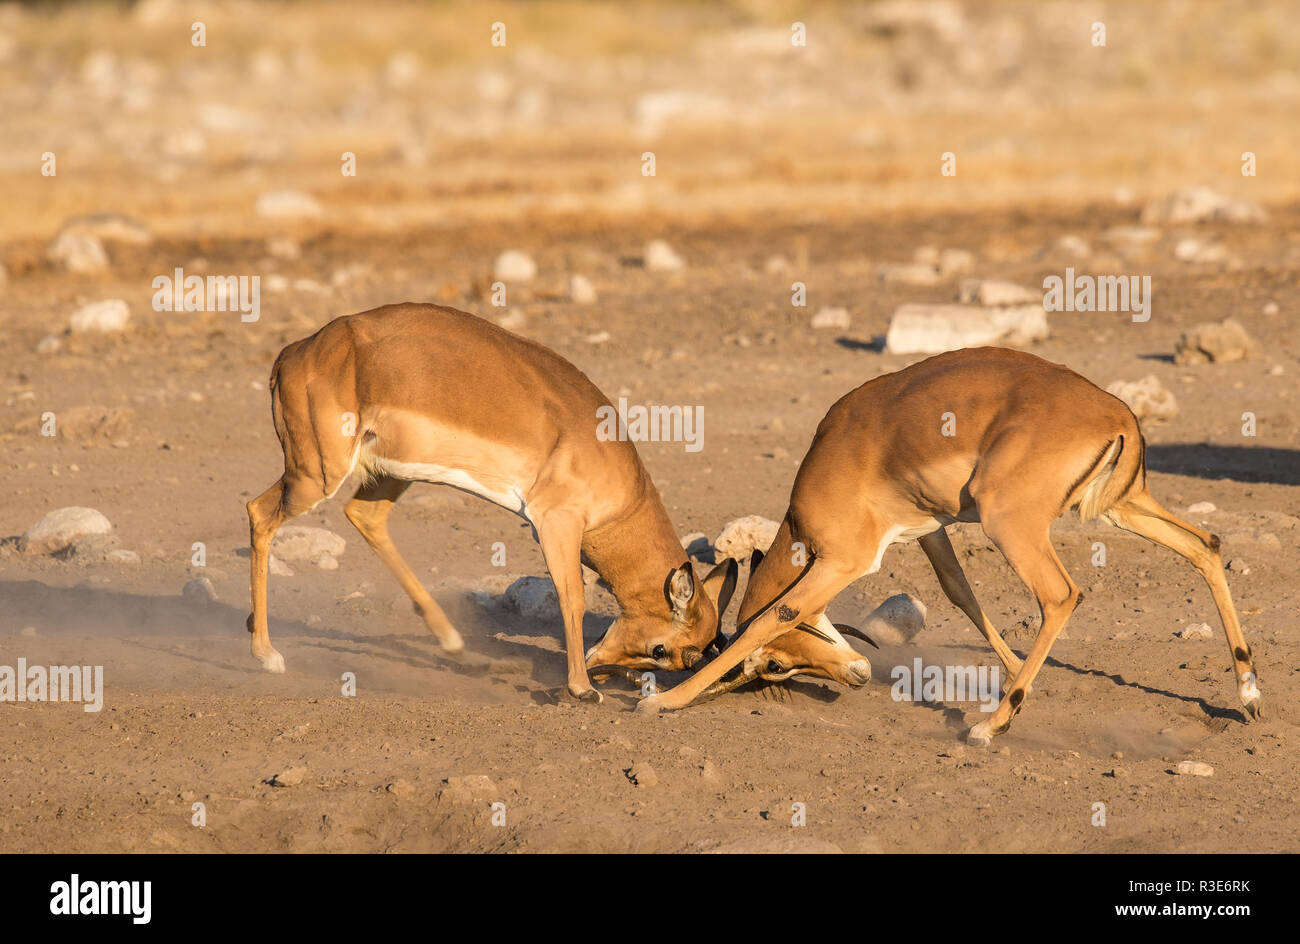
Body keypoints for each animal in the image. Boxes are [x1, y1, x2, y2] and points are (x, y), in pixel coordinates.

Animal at [246, 303, 738, 701]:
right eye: (661, 648)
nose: (597, 665)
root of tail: (294, 352)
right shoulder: (555, 522)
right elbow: (572, 598)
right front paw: (580, 689)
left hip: (390, 474)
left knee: (362, 516)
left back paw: (461, 650)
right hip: (317, 476)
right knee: (259, 513)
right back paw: (267, 655)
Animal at [638, 347, 1262, 744]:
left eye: (775, 666)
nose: (855, 677)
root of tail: (1118, 414)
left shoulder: (844, 558)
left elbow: (778, 612)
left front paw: (661, 701)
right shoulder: (929, 529)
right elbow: (959, 591)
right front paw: (1013, 673)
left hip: (1011, 522)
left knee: (1061, 595)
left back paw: (991, 726)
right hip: (1121, 505)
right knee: (1205, 545)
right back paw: (1250, 696)